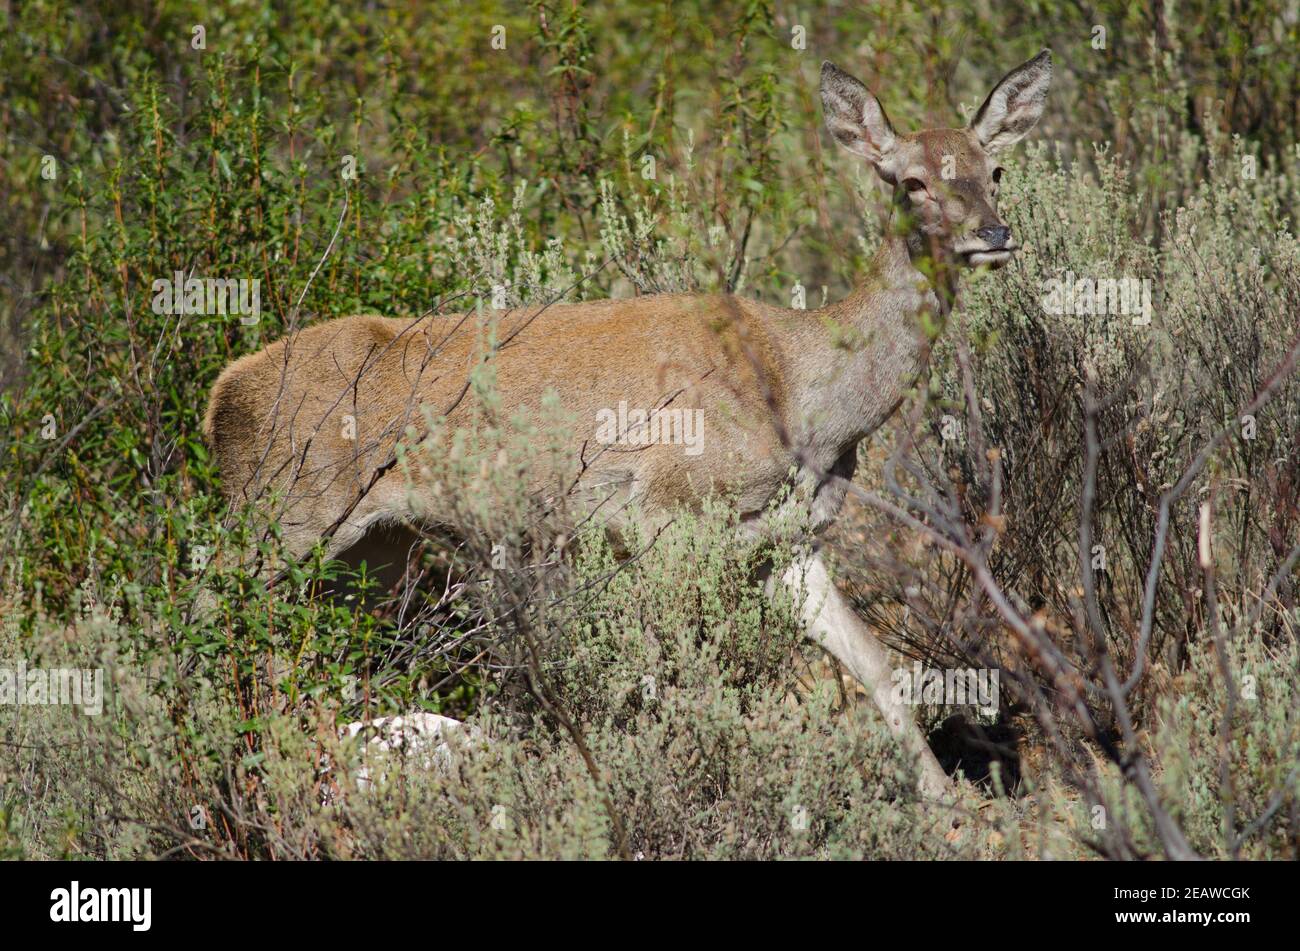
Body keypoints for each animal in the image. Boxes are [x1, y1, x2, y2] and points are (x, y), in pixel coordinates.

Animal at [202, 50, 1053, 801]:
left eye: (995, 170)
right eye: (910, 181)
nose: (994, 235)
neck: (802, 400)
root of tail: (221, 396)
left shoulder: (787, 538)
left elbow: (874, 661)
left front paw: (943, 796)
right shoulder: (661, 511)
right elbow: (669, 669)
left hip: (370, 553)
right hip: (283, 515)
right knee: (215, 619)